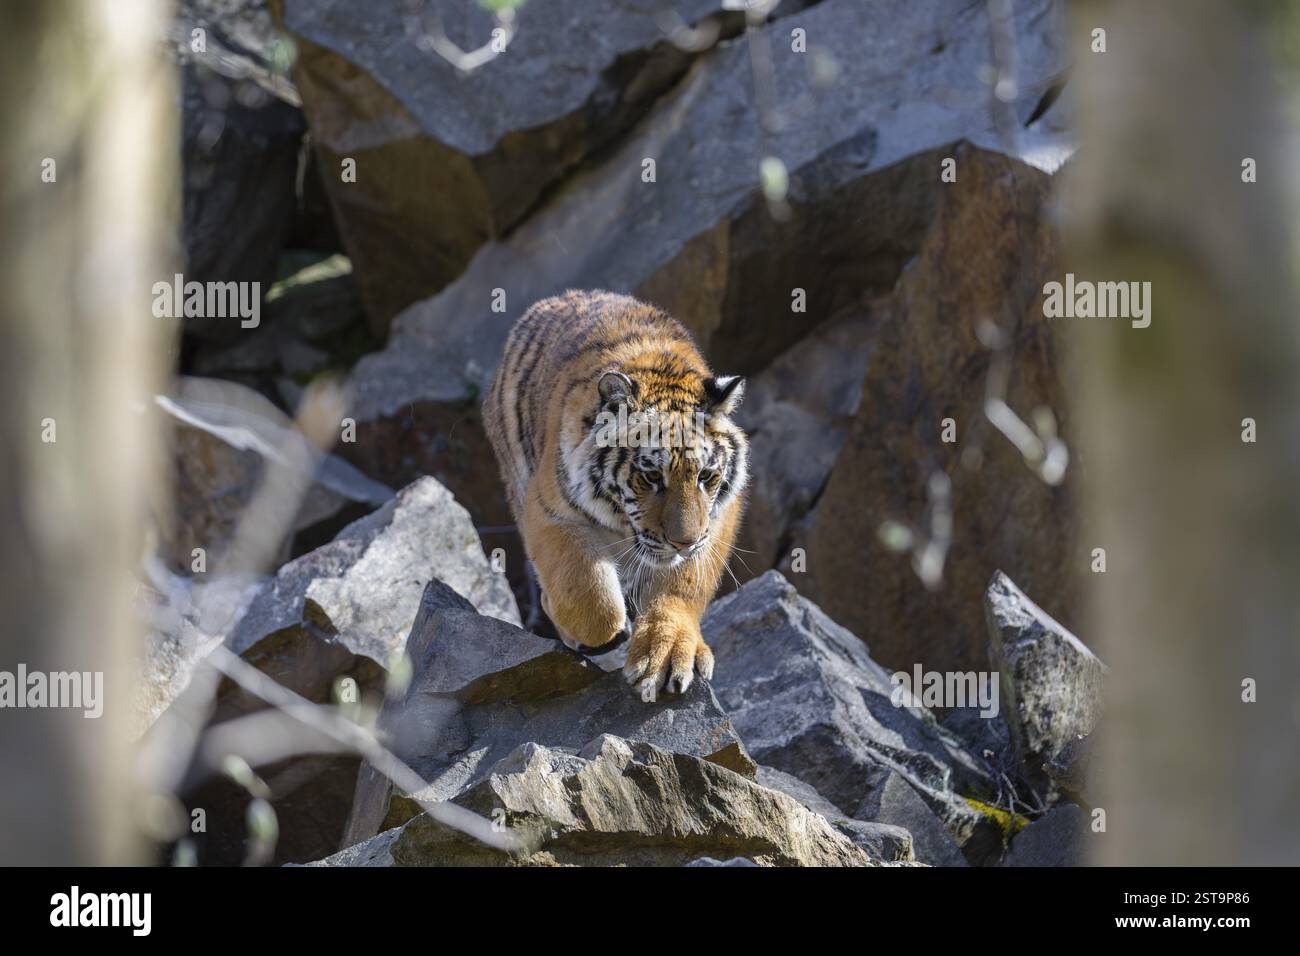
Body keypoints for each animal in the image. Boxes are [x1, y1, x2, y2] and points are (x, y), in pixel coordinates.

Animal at [483, 290, 749, 702]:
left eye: (706, 476)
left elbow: (682, 585)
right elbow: (585, 585)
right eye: (652, 476)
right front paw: (604, 634)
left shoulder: (717, 518)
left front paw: (666, 653)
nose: (684, 543)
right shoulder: (549, 510)